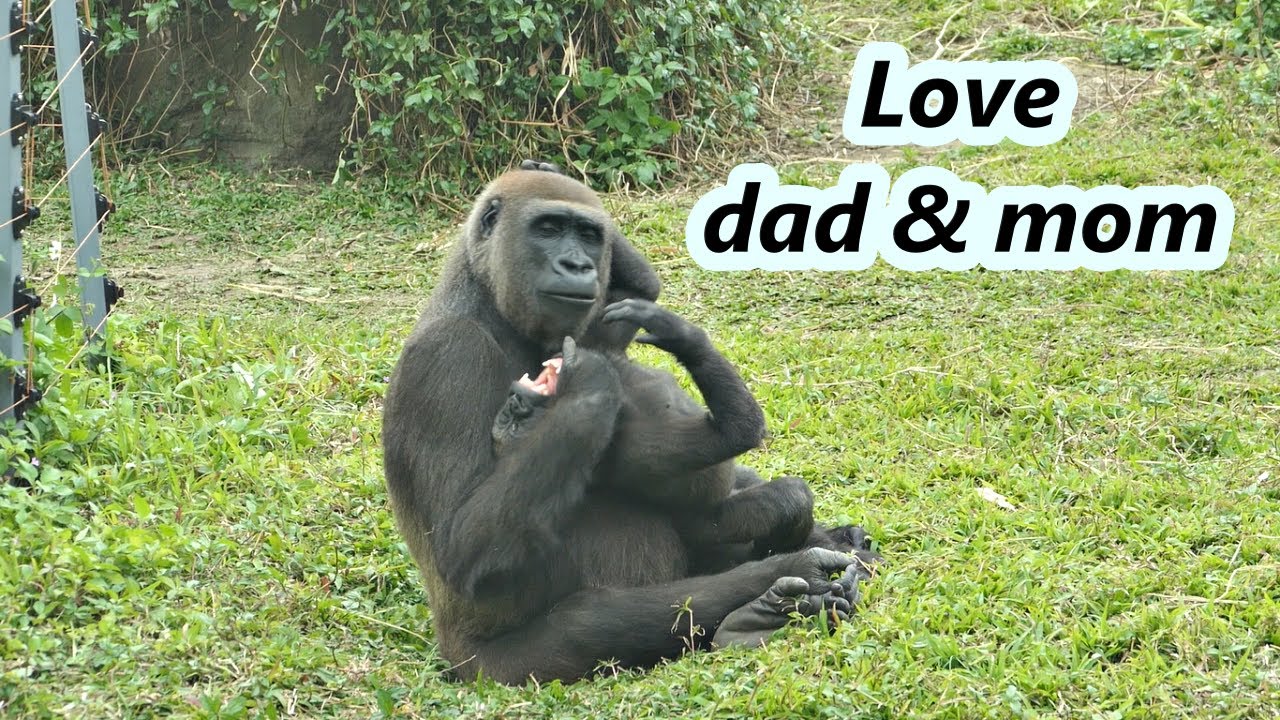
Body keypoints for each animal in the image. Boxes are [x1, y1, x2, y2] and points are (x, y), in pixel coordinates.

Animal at [383, 166, 874, 685]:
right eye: (548, 229)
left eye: (588, 236)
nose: (579, 266)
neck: (484, 300)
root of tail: (452, 653)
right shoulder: (447, 355)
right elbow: (463, 547)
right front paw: (589, 384)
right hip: (492, 668)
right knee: (593, 622)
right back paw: (765, 601)